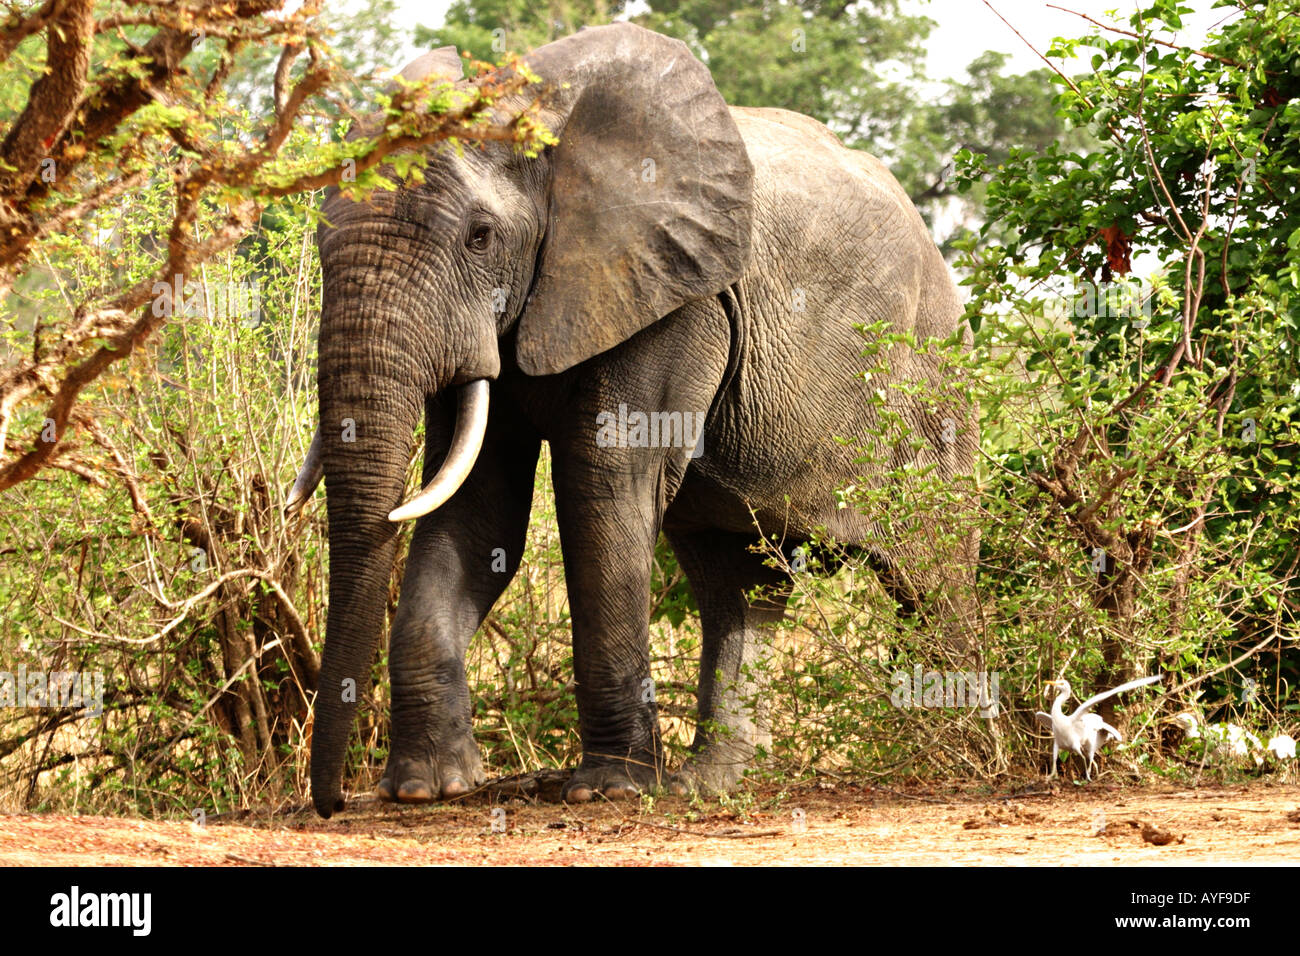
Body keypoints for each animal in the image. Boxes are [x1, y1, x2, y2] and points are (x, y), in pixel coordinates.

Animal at [287, 22, 978, 818]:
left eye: (480, 237)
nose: (331, 803)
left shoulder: (675, 297)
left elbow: (603, 484)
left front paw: (607, 790)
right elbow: (476, 506)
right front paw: (425, 788)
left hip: (935, 397)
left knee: (934, 583)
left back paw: (963, 746)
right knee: (738, 589)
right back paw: (711, 784)